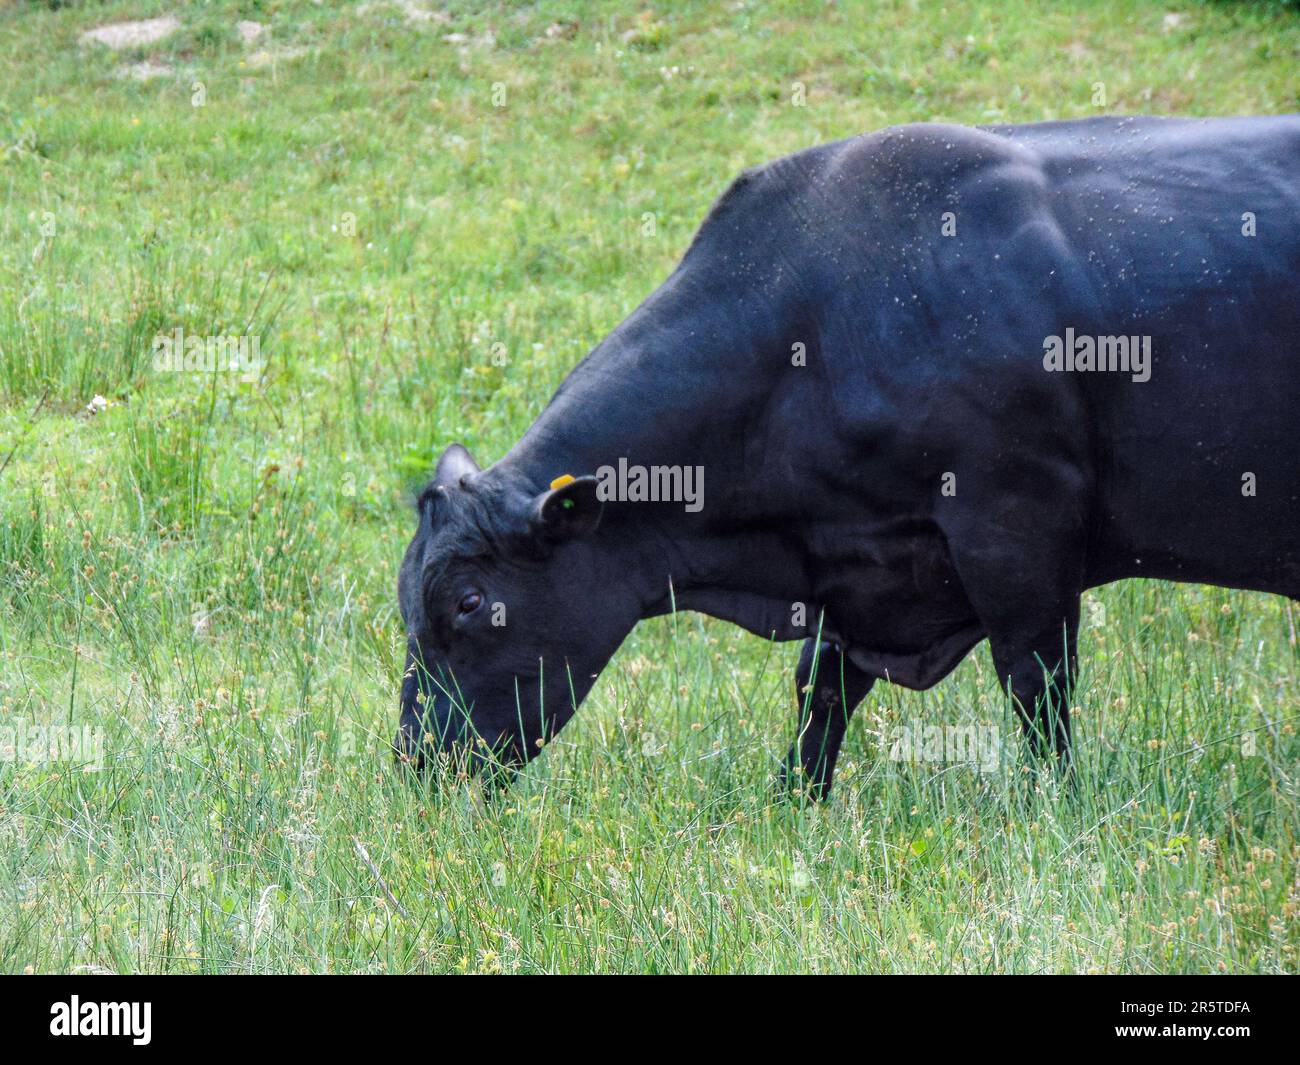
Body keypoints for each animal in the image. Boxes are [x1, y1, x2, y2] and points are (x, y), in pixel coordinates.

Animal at [397, 114, 1300, 798]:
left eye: (470, 602)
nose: (417, 765)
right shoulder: (854, 567)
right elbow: (821, 688)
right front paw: (794, 802)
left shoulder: (1015, 527)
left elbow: (1038, 686)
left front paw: (1059, 808)